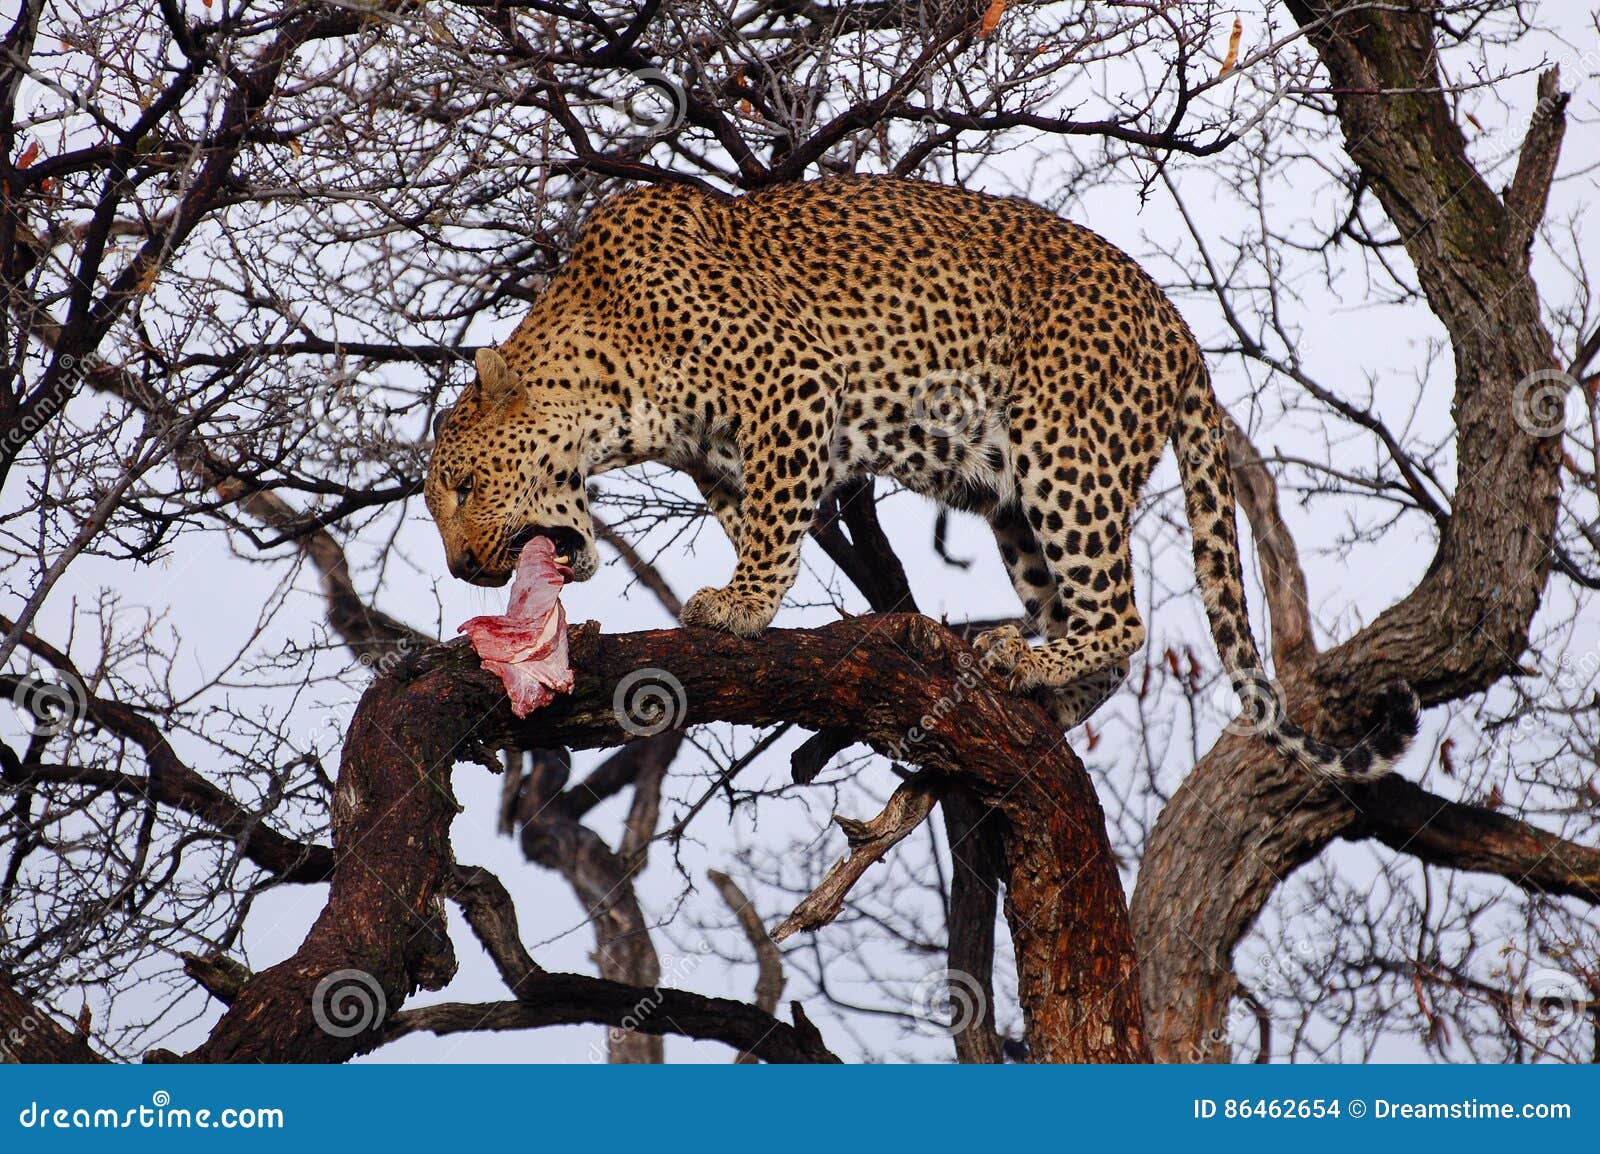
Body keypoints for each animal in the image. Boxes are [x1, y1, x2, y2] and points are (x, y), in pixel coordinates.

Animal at [425, 174, 1418, 779]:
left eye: (463, 490)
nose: (463, 569)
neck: (606, 375)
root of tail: (1181, 333)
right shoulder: (723, 454)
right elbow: (758, 518)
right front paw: (750, 596)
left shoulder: (793, 386)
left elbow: (776, 523)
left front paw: (740, 606)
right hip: (1013, 502)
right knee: (1089, 625)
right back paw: (1043, 686)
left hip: (1063, 449)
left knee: (1123, 613)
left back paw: (1025, 658)